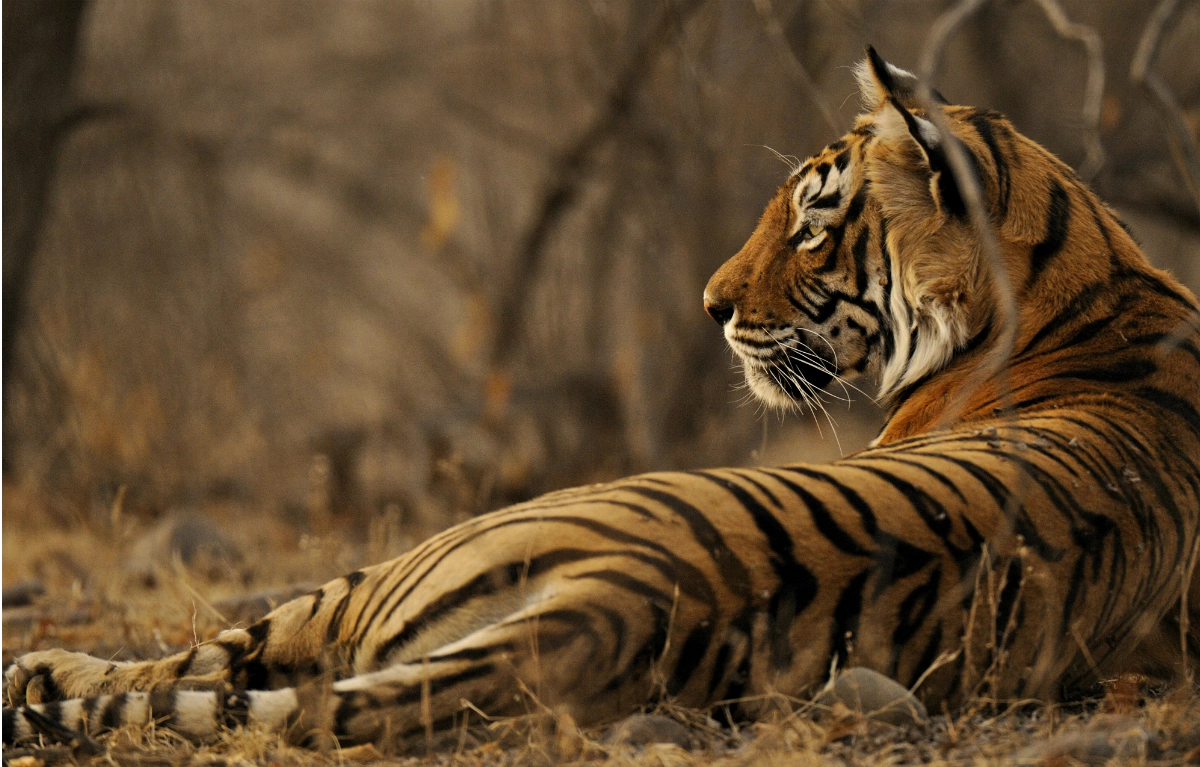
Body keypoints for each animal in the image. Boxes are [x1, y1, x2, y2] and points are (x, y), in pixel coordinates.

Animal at [5, 46, 1199, 750]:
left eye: (813, 222)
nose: (710, 304)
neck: (1086, 274)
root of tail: (625, 595)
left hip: (408, 558)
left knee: (209, 652)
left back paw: (38, 671)